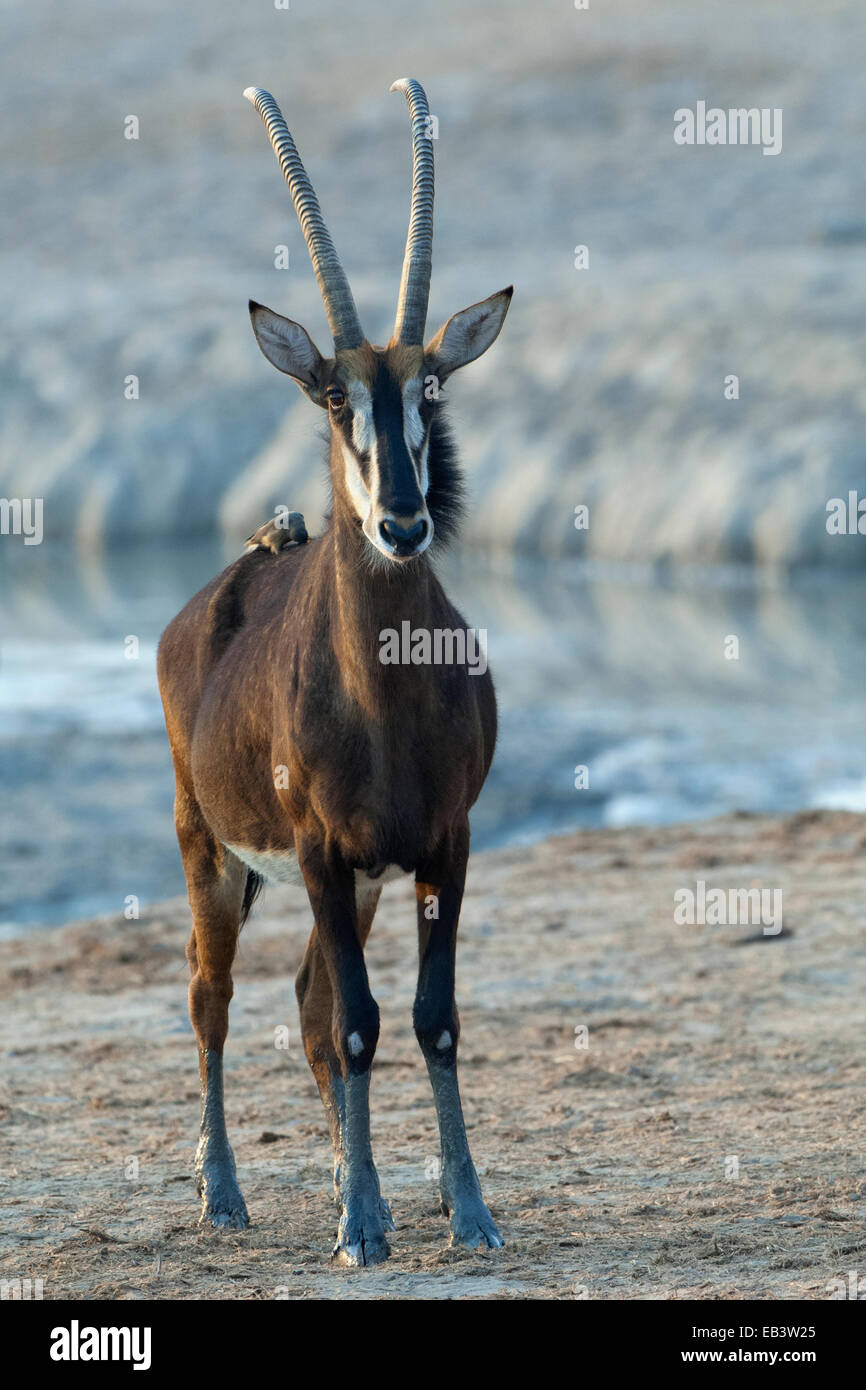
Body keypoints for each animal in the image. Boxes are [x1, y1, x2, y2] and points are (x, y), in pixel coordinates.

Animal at [157, 79, 512, 1266]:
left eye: (430, 389)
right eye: (331, 399)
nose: (402, 522)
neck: (386, 698)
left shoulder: (443, 841)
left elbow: (429, 1019)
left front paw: (464, 1209)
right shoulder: (314, 849)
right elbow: (361, 1026)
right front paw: (358, 1225)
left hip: (353, 881)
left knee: (313, 1001)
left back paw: (379, 1193)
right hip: (214, 851)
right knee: (214, 995)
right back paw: (224, 1193)